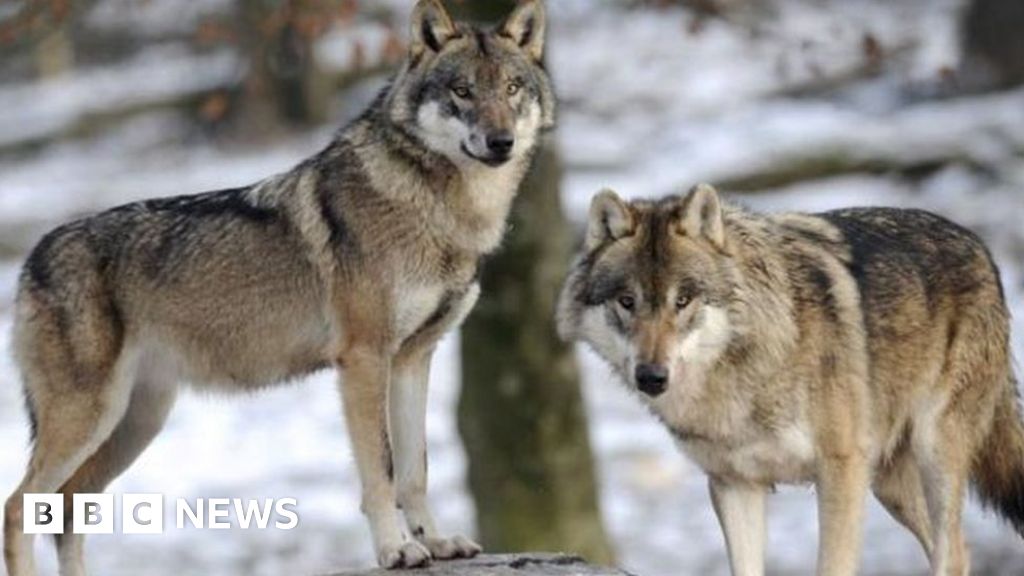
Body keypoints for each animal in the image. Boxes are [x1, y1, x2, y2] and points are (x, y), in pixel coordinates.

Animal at [3, 1, 554, 573]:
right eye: (462, 90)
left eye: (512, 87)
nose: (501, 142)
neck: (441, 213)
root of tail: (32, 258)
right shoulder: (363, 360)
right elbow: (380, 471)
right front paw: (396, 549)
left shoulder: (413, 359)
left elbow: (415, 470)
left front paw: (438, 542)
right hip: (91, 419)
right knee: (19, 507)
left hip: (135, 424)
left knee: (67, 508)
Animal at [558, 184, 1024, 576]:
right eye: (627, 302)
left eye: (683, 300)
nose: (651, 376)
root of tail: (979, 245)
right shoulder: (735, 484)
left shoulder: (840, 470)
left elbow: (833, 566)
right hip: (889, 484)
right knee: (960, 547)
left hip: (933, 453)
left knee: (952, 550)